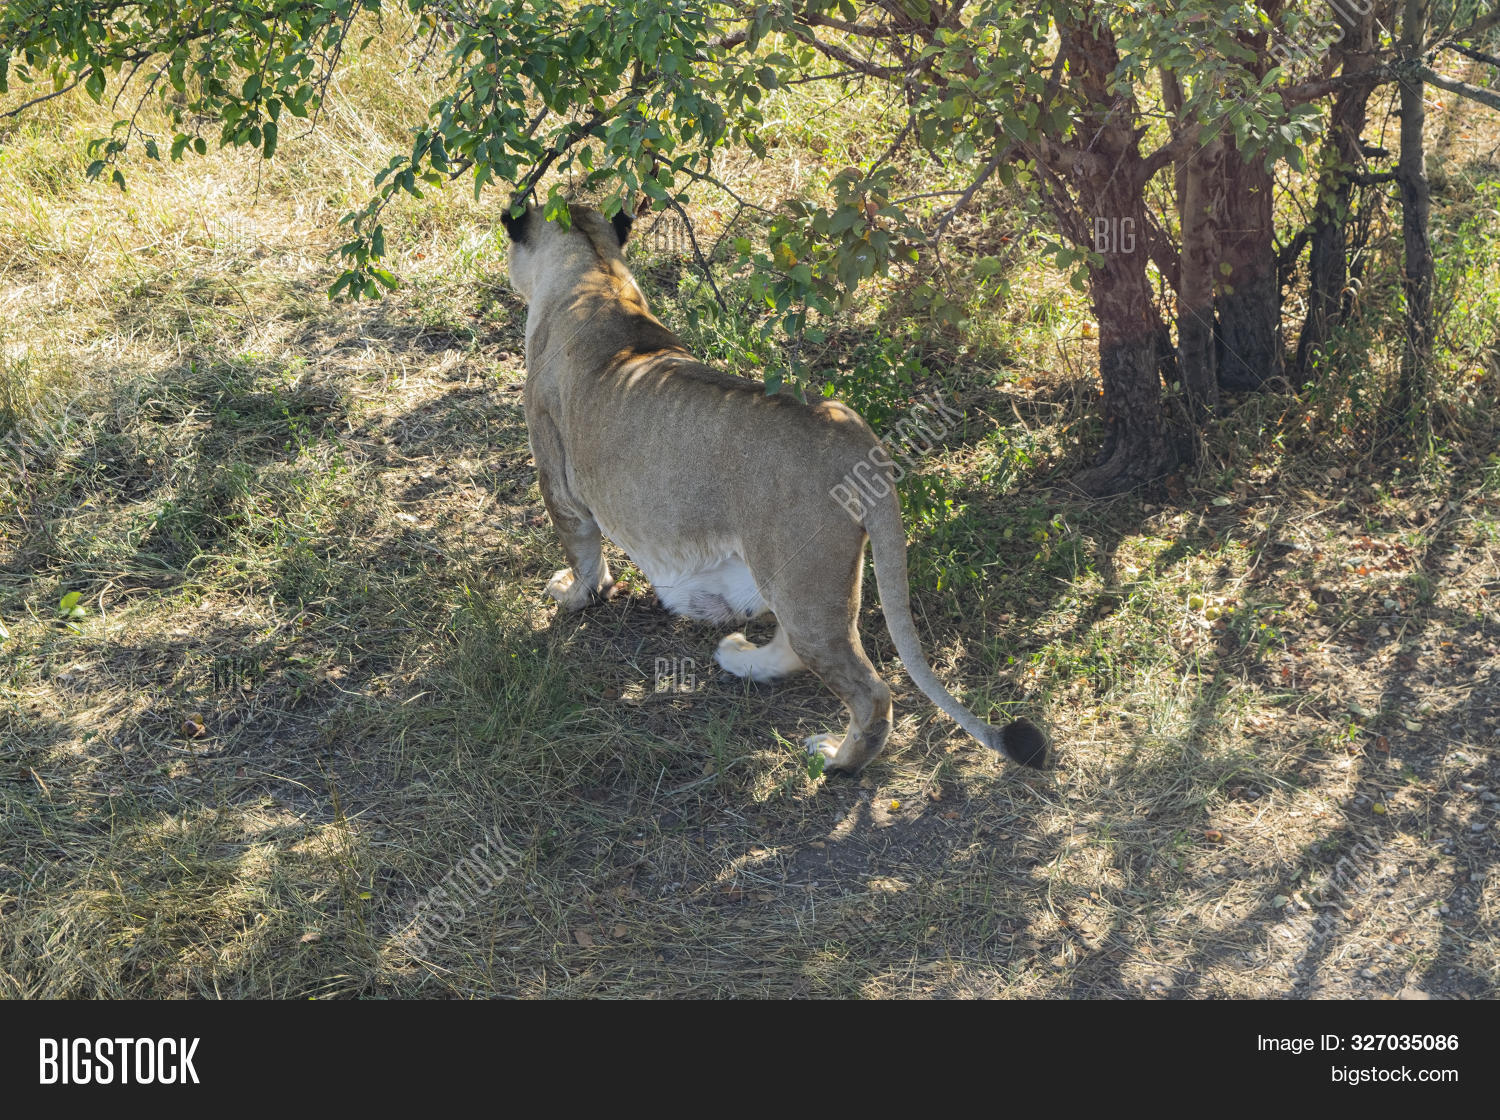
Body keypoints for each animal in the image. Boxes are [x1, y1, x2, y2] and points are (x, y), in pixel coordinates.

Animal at [501, 202, 1047, 776]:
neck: (595, 275)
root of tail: (858, 440)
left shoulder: (557, 475)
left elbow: (583, 553)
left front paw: (573, 594)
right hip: (797, 577)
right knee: (791, 649)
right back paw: (739, 656)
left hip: (804, 585)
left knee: (869, 690)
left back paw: (835, 760)